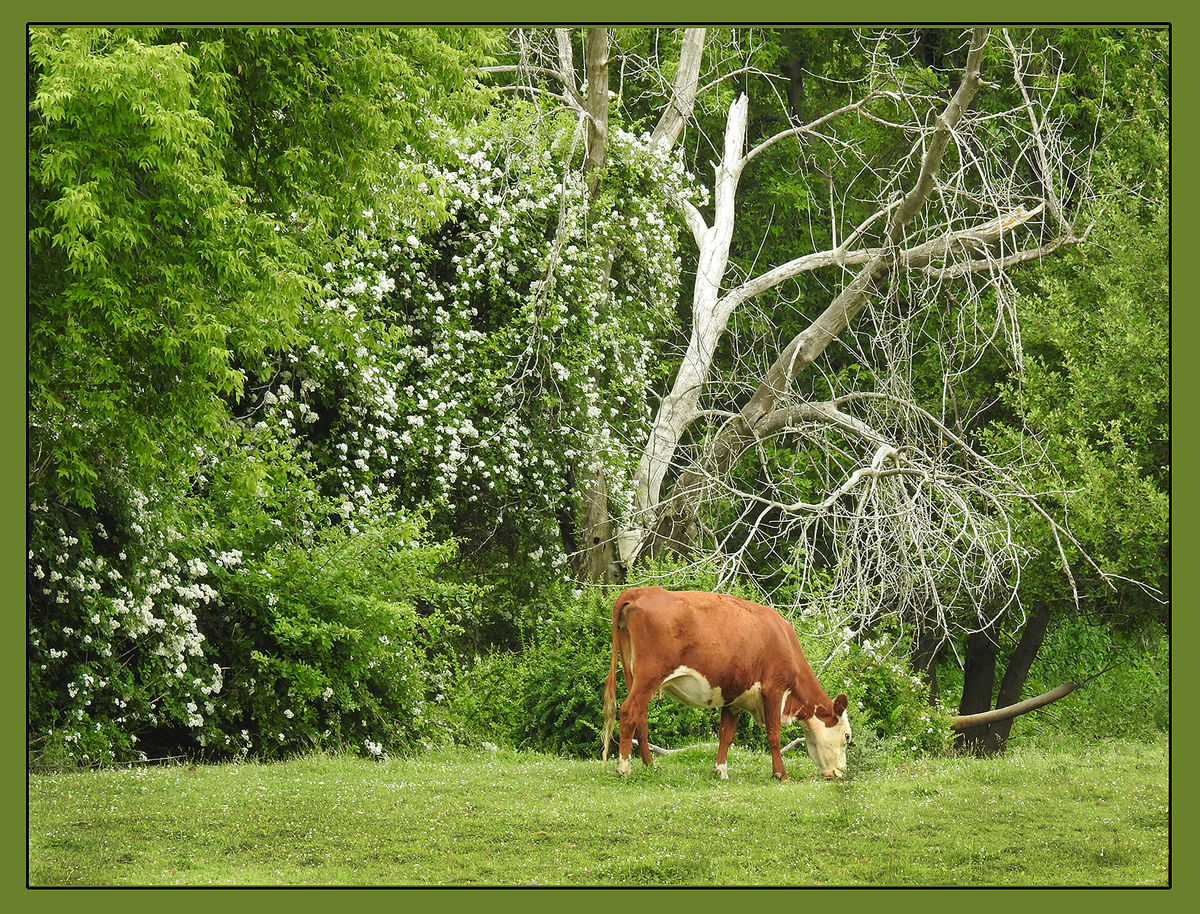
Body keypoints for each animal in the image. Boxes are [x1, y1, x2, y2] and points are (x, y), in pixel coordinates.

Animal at [601, 586, 851, 781]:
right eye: (847, 737)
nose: (840, 774)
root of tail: (639, 592)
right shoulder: (774, 690)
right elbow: (774, 734)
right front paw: (781, 774)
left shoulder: (734, 698)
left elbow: (726, 734)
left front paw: (720, 769)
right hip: (648, 676)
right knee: (628, 712)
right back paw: (624, 767)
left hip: (635, 677)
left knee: (640, 717)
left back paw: (649, 764)